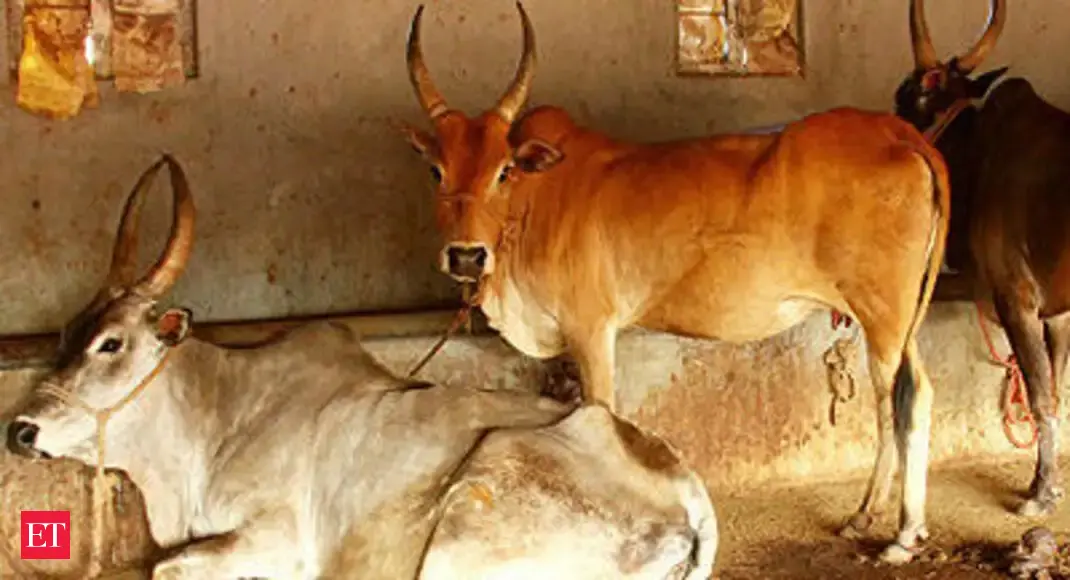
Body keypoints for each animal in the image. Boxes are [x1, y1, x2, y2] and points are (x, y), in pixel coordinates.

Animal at [5, 154, 718, 579]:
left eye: (111, 344)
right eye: (65, 335)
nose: (21, 430)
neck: (219, 419)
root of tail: (688, 498)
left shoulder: (278, 538)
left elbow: (167, 567)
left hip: (463, 532)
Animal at [399, 2, 952, 565]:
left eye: (504, 171)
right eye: (436, 171)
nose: (467, 255)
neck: (535, 201)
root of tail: (897, 134)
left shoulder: (591, 328)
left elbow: (603, 417)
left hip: (884, 313)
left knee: (906, 398)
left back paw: (903, 533)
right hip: (893, 319)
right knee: (899, 399)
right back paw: (866, 517)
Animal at [893, 0, 1070, 519]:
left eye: (903, 99)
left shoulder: (1017, 299)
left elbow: (1041, 398)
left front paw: (1042, 493)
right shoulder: (1056, 315)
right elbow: (1054, 392)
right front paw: (1043, 484)